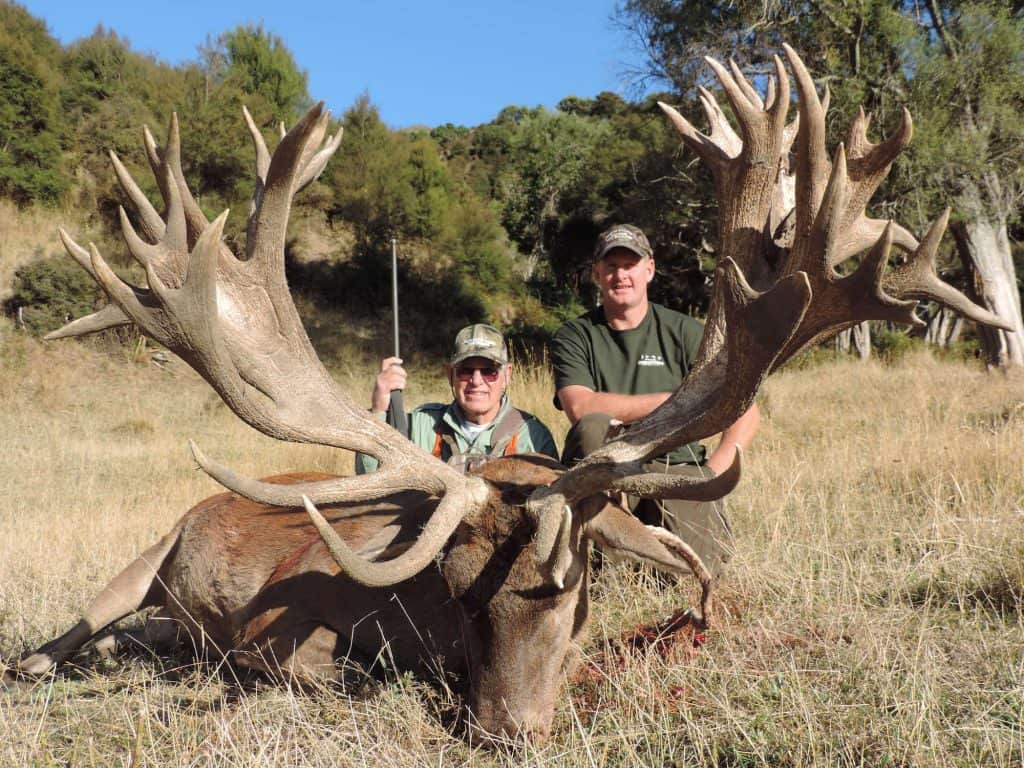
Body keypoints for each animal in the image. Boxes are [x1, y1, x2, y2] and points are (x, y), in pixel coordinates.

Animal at [14, 46, 1008, 744]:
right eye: (456, 592)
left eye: (575, 588)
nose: (506, 730)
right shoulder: (291, 632)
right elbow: (333, 669)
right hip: (140, 557)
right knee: (70, 633)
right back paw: (61, 658)